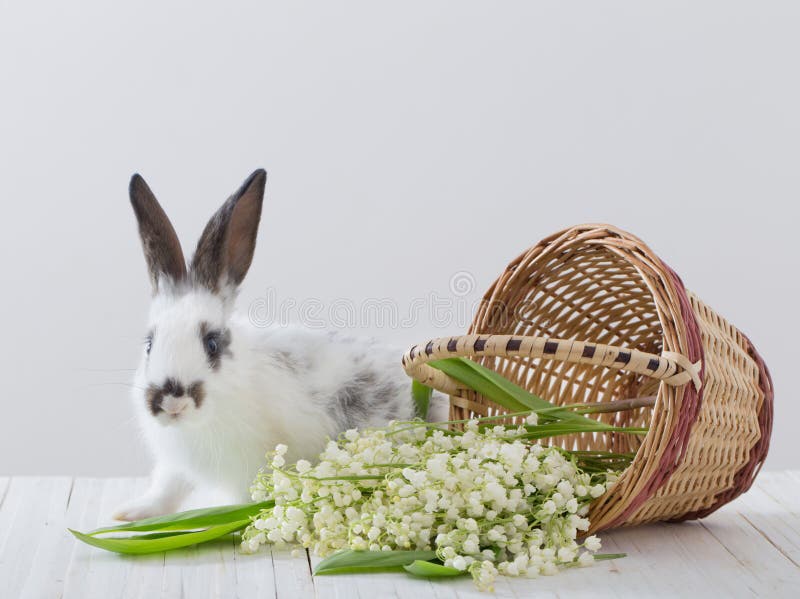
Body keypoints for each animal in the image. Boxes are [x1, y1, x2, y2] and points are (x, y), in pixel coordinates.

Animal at [113, 169, 446, 521]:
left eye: (212, 344)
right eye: (149, 344)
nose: (172, 403)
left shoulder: (248, 468)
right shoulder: (174, 464)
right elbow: (165, 491)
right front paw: (128, 514)